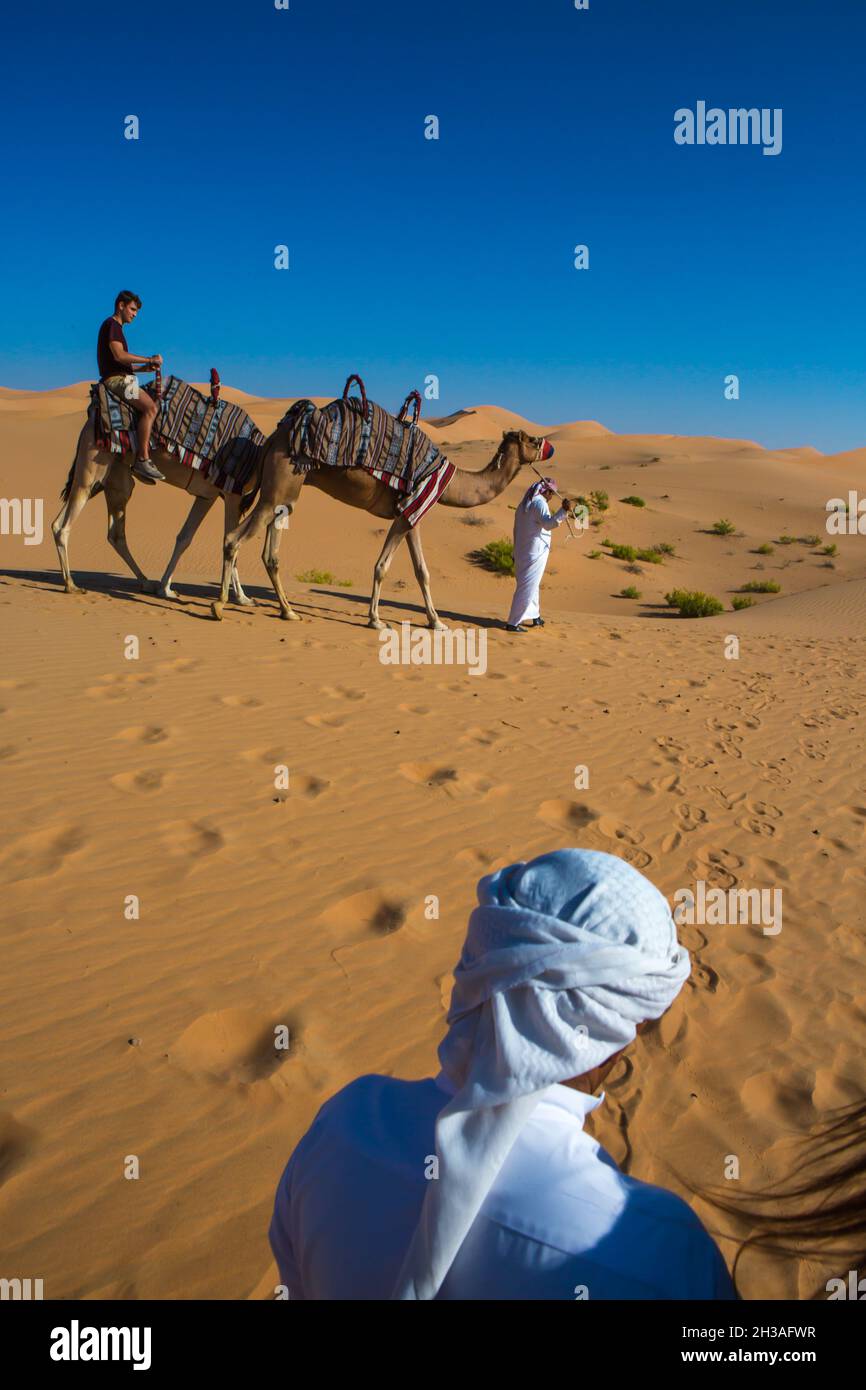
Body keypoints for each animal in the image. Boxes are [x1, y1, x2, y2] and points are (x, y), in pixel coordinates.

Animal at [52, 413, 263, 604]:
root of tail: (89, 422)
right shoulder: (232, 494)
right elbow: (232, 541)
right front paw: (243, 598)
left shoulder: (207, 495)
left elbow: (185, 538)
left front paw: (165, 589)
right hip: (93, 466)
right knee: (64, 526)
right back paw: (71, 585)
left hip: (112, 481)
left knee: (109, 532)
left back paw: (146, 583)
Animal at [210, 428, 551, 628]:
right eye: (533, 440)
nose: (550, 448)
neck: (450, 482)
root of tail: (271, 439)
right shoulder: (405, 513)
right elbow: (382, 566)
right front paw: (375, 619)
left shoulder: (412, 516)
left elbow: (422, 571)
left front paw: (436, 621)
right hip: (277, 490)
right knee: (232, 538)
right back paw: (221, 605)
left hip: (284, 496)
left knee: (269, 553)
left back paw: (288, 611)